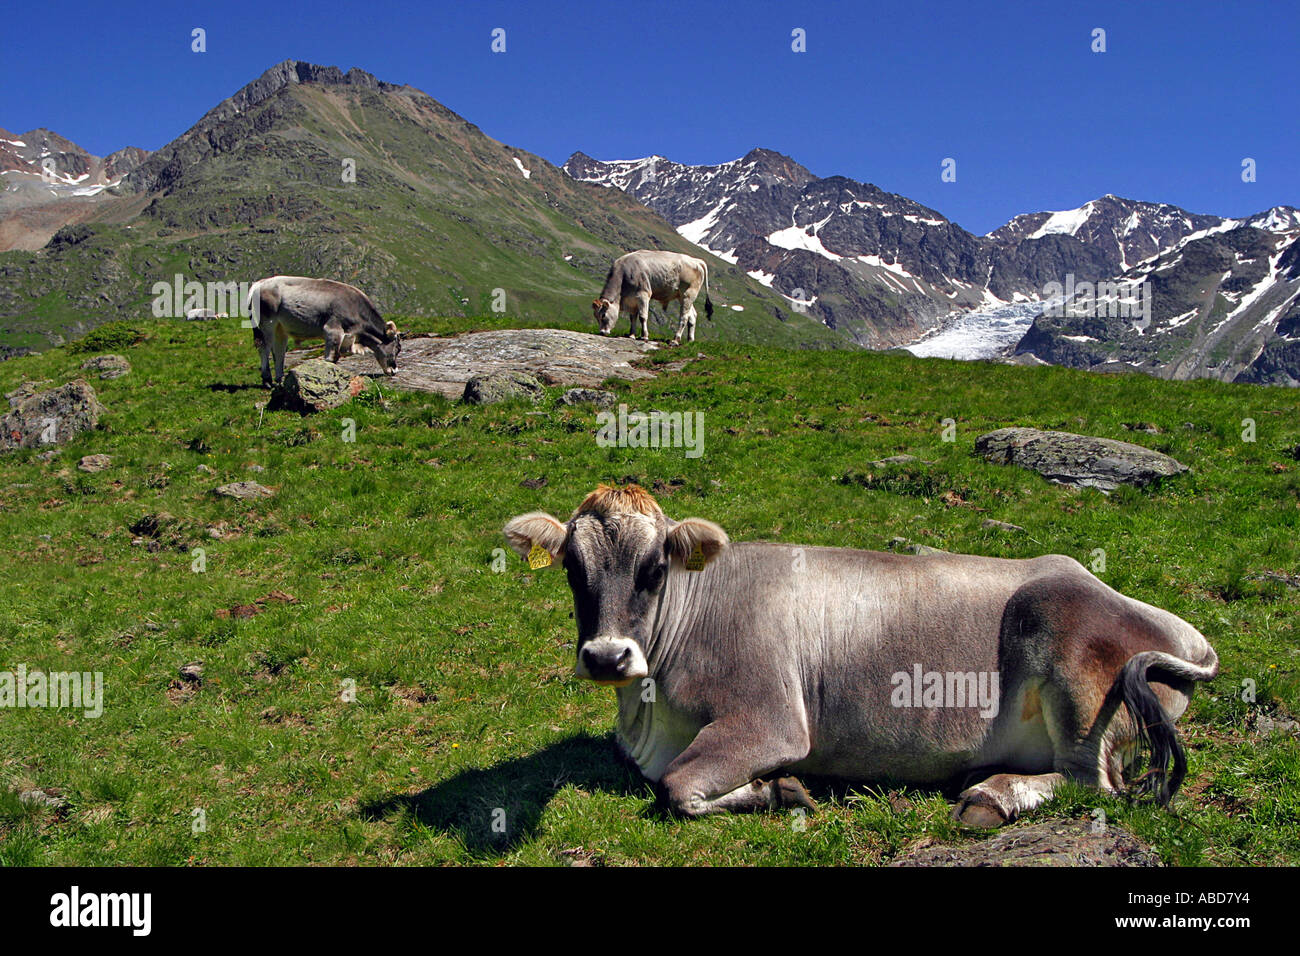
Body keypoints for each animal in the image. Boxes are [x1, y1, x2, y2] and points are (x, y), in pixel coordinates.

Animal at [246, 275, 401, 387]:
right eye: (397, 349)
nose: (395, 370)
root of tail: (260, 283)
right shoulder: (332, 330)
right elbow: (333, 358)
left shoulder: (347, 337)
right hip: (267, 323)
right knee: (264, 348)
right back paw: (267, 381)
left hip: (280, 328)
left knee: (279, 350)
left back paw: (279, 380)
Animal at [504, 484, 1218, 824]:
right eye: (572, 569)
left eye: (654, 569)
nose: (606, 657)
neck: (648, 715)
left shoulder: (770, 718)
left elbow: (678, 786)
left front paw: (779, 790)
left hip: (1070, 659)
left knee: (1091, 781)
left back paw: (993, 797)